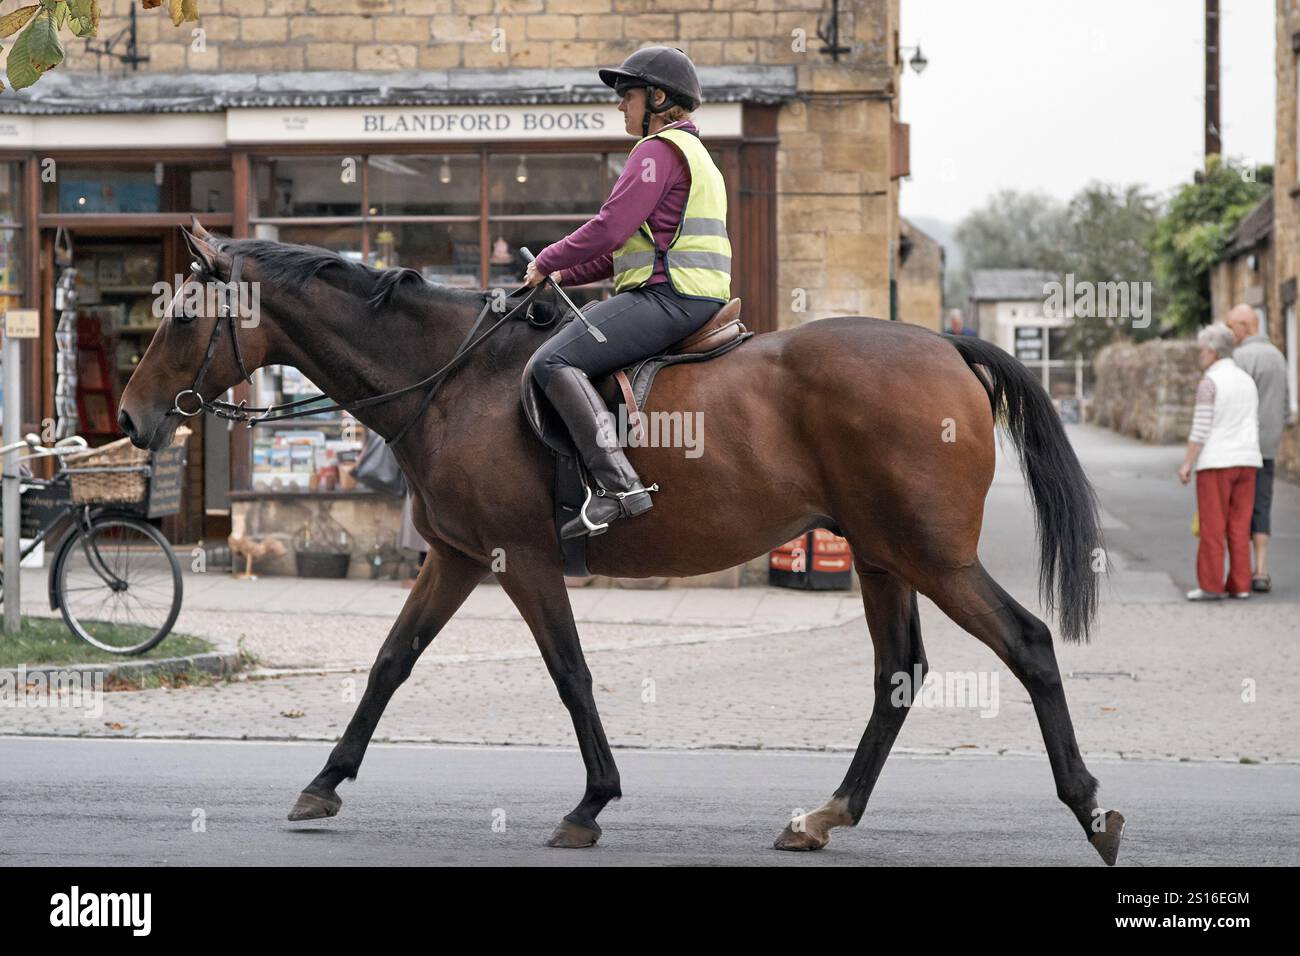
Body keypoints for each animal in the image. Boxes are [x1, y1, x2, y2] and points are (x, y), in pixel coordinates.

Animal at [117, 223, 1124, 864]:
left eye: (181, 318)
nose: (129, 418)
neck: (450, 378)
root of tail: (947, 347)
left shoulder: (522, 561)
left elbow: (570, 673)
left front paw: (591, 801)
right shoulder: (458, 559)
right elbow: (391, 662)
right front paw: (325, 781)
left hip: (931, 556)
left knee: (1028, 643)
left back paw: (1087, 806)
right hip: (883, 557)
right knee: (898, 675)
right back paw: (826, 816)